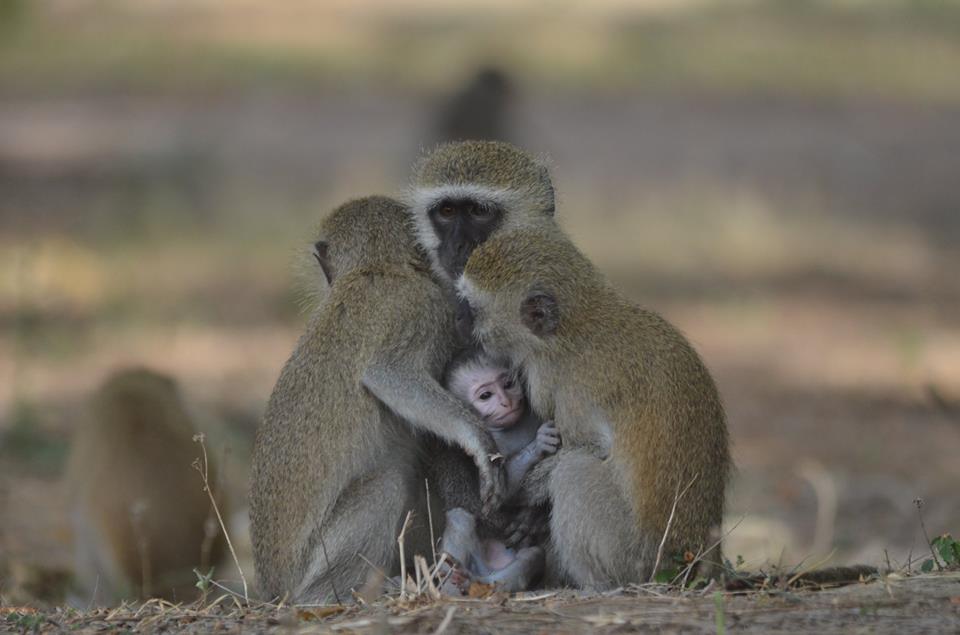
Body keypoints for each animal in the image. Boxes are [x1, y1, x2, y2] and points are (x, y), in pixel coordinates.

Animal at [248, 196, 506, 604]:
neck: (383, 267)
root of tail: (274, 590)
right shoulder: (422, 308)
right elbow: (387, 373)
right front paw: (477, 439)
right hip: (312, 563)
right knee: (386, 486)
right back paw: (330, 596)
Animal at [433, 349, 559, 593]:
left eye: (508, 384)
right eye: (486, 395)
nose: (506, 401)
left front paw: (534, 515)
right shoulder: (475, 444)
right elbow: (499, 495)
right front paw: (538, 445)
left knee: (532, 555)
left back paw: (482, 584)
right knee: (460, 517)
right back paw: (451, 587)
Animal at [453, 225, 732, 589]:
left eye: (474, 308)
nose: (464, 323)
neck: (577, 328)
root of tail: (689, 559)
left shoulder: (572, 389)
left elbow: (588, 448)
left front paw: (526, 495)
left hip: (633, 557)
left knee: (573, 472)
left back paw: (595, 587)